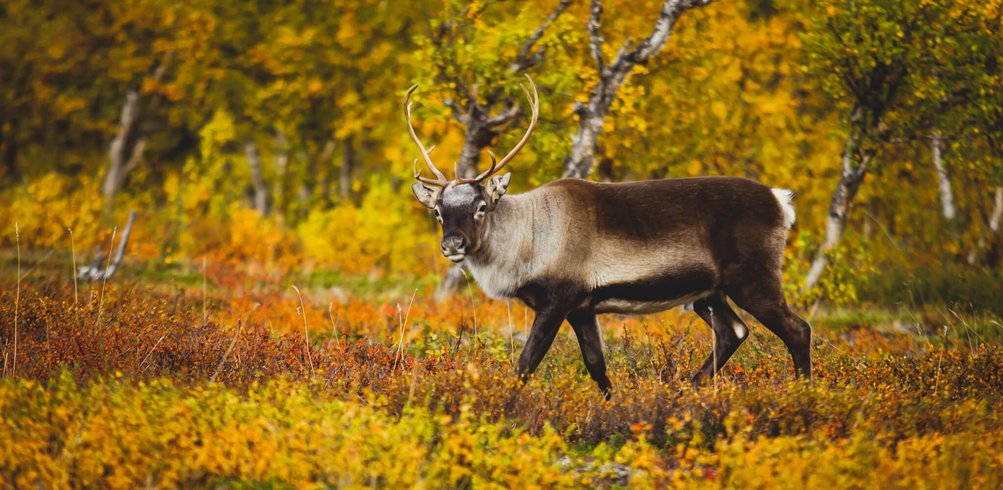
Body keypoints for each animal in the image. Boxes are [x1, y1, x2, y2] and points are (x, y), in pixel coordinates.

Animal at [404, 75, 811, 400]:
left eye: (480, 207)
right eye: (438, 211)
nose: (452, 245)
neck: (526, 240)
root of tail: (781, 200)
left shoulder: (558, 300)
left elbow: (525, 364)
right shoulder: (583, 308)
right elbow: (597, 366)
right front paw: (613, 408)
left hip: (752, 279)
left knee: (797, 329)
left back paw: (806, 394)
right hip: (708, 293)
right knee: (734, 332)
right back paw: (687, 391)